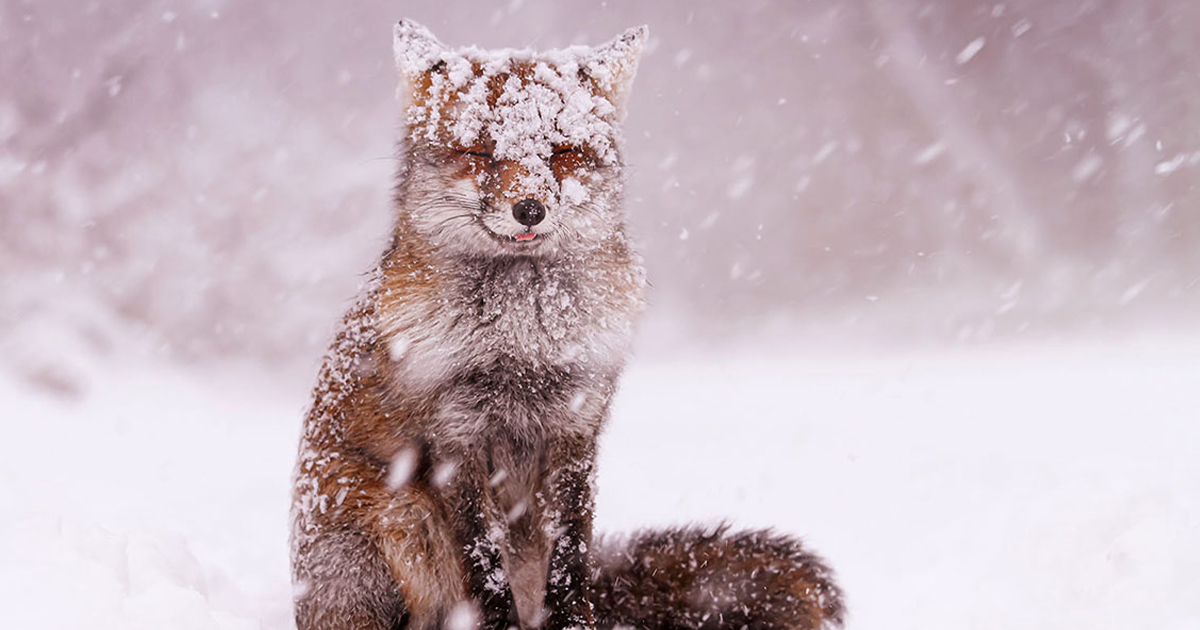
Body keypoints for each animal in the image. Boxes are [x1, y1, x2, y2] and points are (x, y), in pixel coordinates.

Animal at [290, 19, 844, 630]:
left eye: (562, 152)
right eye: (480, 151)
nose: (528, 209)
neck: (520, 344)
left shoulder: (576, 430)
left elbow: (571, 554)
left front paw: (576, 621)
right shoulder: (455, 438)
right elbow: (484, 564)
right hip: (402, 515)